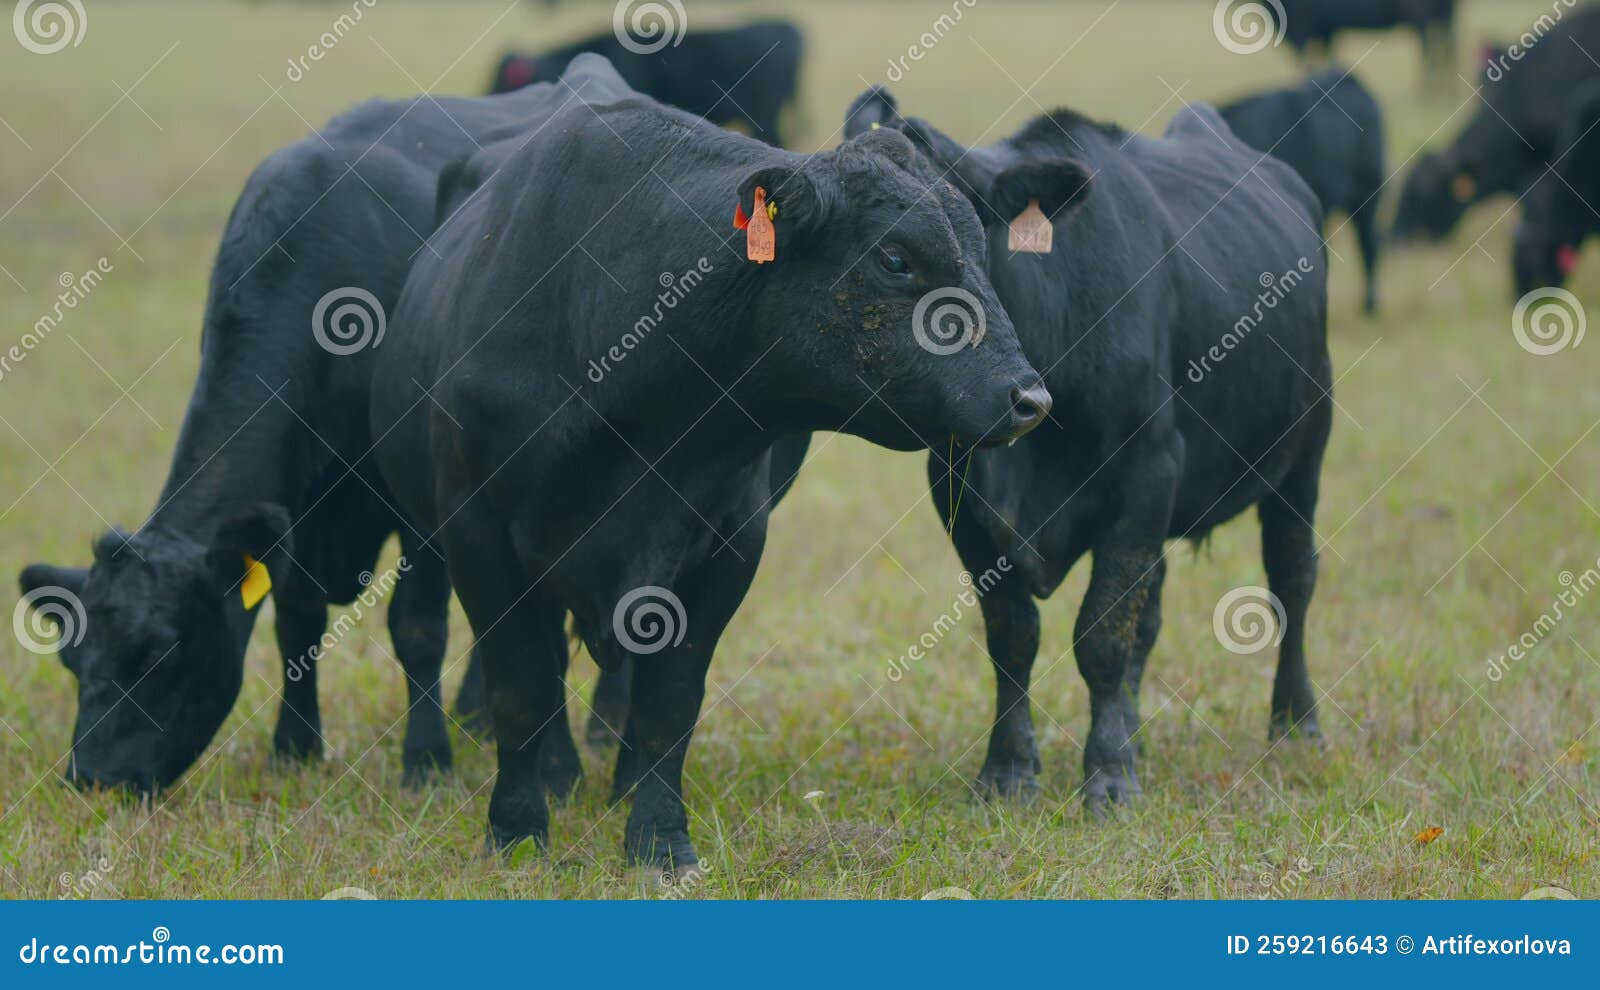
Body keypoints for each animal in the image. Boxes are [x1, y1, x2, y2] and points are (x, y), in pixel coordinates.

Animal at [370, 55, 1050, 871]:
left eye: (981, 247)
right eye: (894, 257)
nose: (1029, 398)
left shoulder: (727, 545)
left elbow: (671, 699)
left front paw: (659, 837)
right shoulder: (482, 537)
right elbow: (521, 689)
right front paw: (517, 829)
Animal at [844, 87, 1332, 814]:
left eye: (948, 229)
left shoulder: (1144, 476)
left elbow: (1101, 634)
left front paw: (1107, 775)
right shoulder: (960, 494)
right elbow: (1015, 635)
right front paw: (1010, 769)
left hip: (1303, 454)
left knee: (1292, 581)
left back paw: (1296, 722)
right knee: (1151, 613)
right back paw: (1135, 730)